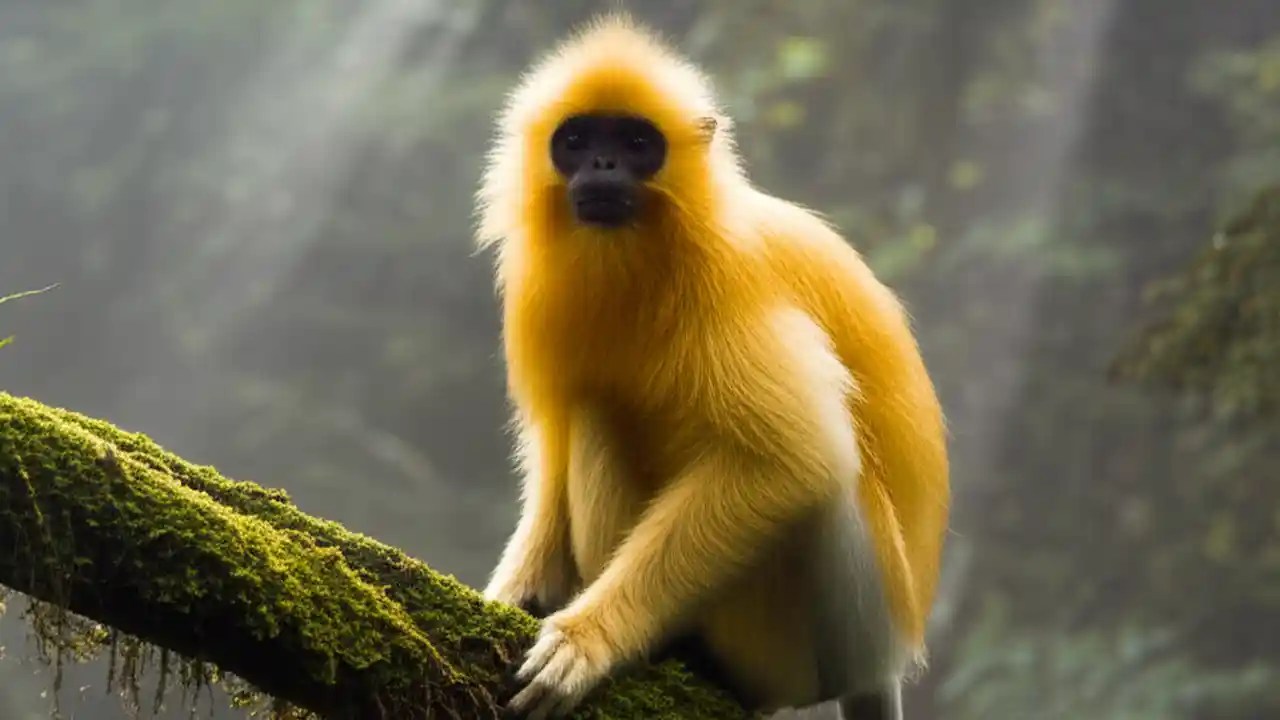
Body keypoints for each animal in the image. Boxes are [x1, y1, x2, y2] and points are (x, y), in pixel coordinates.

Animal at [475, 13, 949, 720]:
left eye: (636, 142)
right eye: (578, 140)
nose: (604, 165)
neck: (642, 252)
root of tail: (882, 660)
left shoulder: (735, 278)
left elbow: (794, 459)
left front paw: (588, 639)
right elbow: (553, 454)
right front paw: (518, 592)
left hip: (822, 626)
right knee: (592, 412)